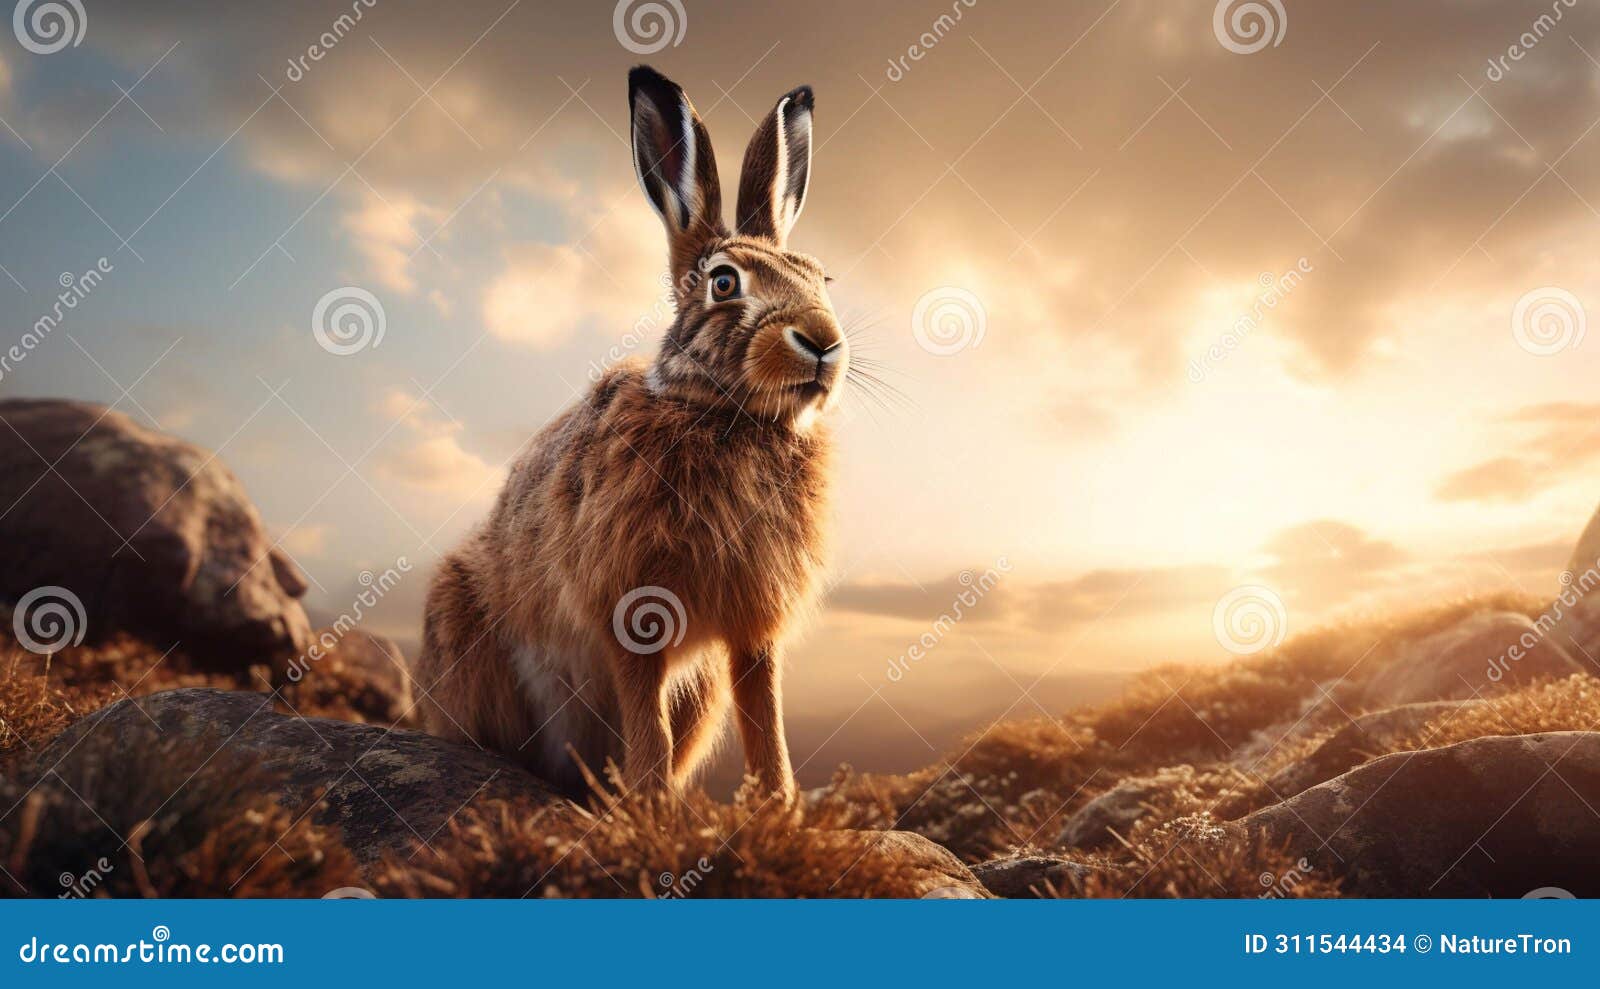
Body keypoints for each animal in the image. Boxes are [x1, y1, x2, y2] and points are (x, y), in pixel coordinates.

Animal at [414, 66, 845, 804]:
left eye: (822, 279)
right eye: (724, 282)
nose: (822, 343)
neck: (727, 414)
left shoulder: (753, 623)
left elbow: (765, 712)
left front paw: (778, 810)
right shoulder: (633, 605)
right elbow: (649, 716)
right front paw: (652, 808)